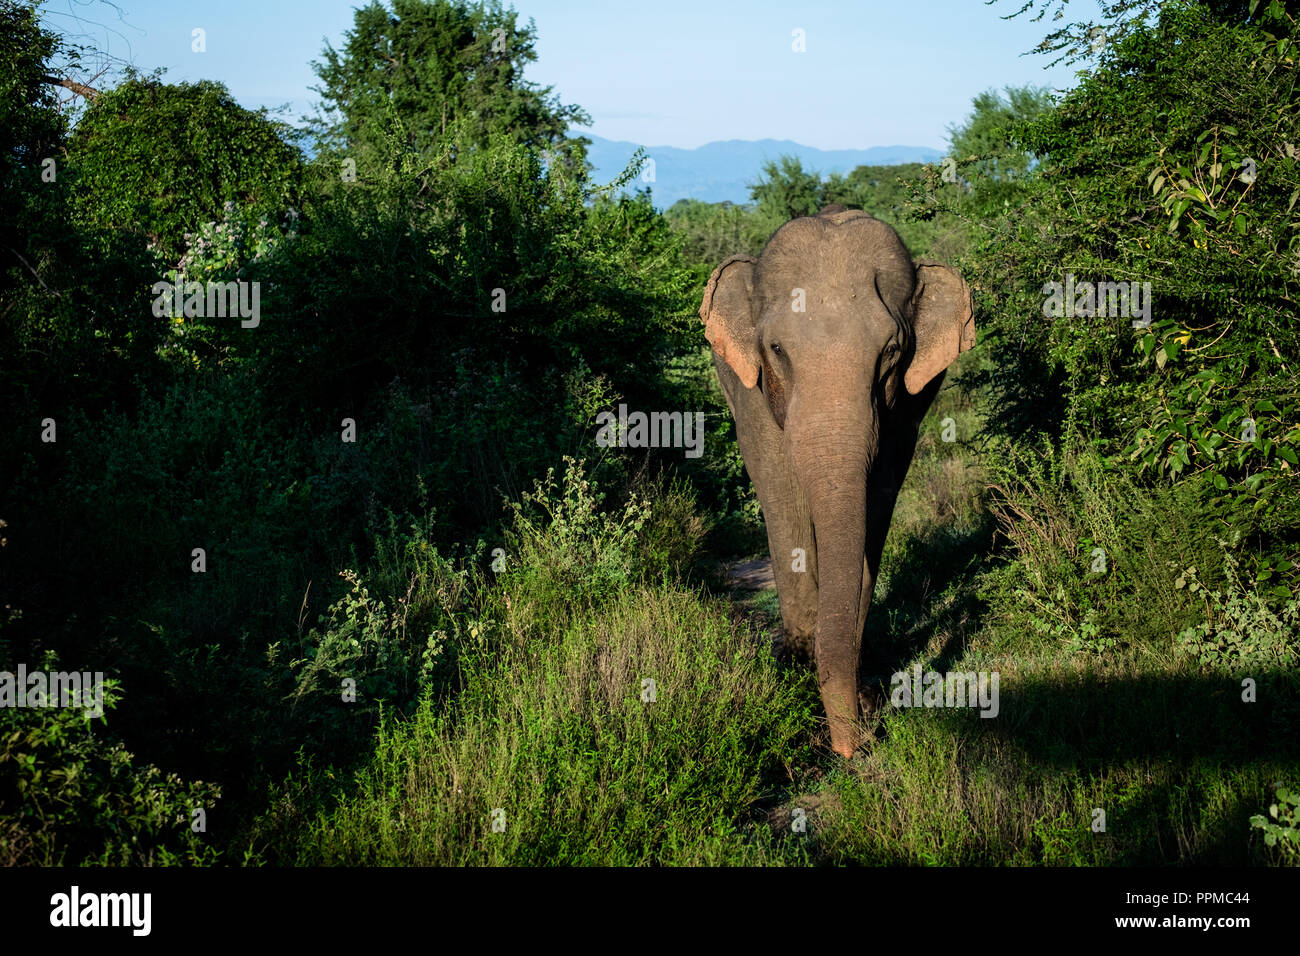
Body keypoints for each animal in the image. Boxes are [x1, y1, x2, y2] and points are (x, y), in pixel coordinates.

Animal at [700, 204, 976, 758]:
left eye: (891, 351)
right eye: (776, 348)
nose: (850, 748)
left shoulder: (907, 408)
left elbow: (878, 503)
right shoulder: (752, 394)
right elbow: (781, 493)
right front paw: (796, 667)